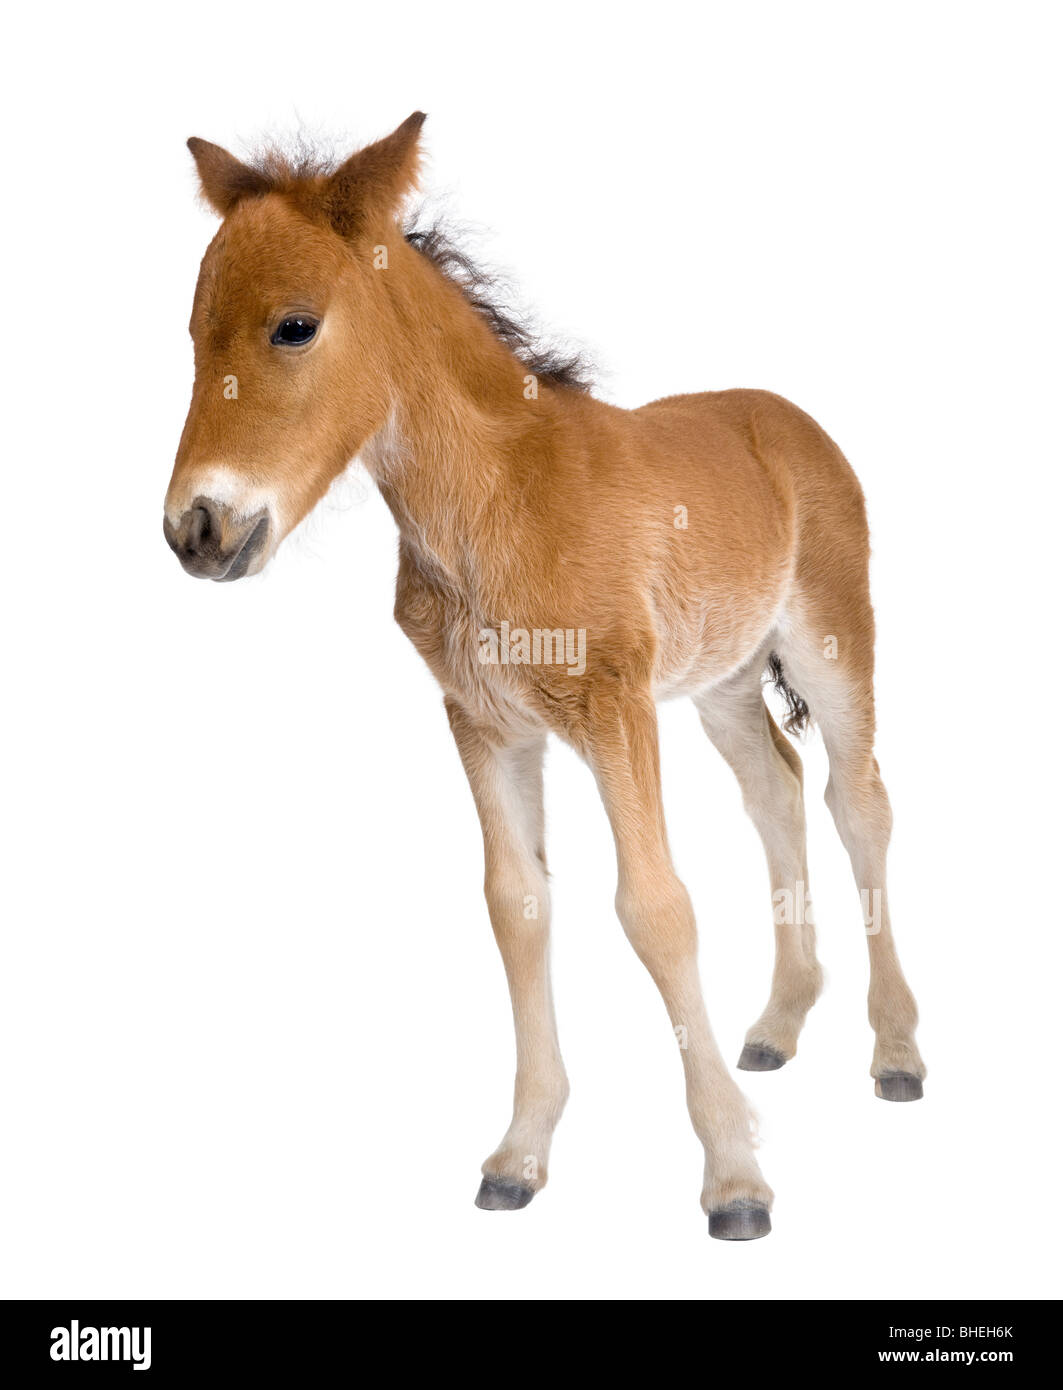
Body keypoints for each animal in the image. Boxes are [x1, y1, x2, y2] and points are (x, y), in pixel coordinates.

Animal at [164, 112, 925, 1240]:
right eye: (192, 332)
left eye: (293, 327)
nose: (198, 530)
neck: (495, 503)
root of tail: (784, 417)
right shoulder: (485, 723)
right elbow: (517, 905)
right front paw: (520, 1156)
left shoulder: (613, 707)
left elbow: (656, 909)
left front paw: (734, 1177)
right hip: (723, 678)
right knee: (776, 791)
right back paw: (778, 1025)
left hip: (831, 640)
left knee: (857, 802)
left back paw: (897, 1050)